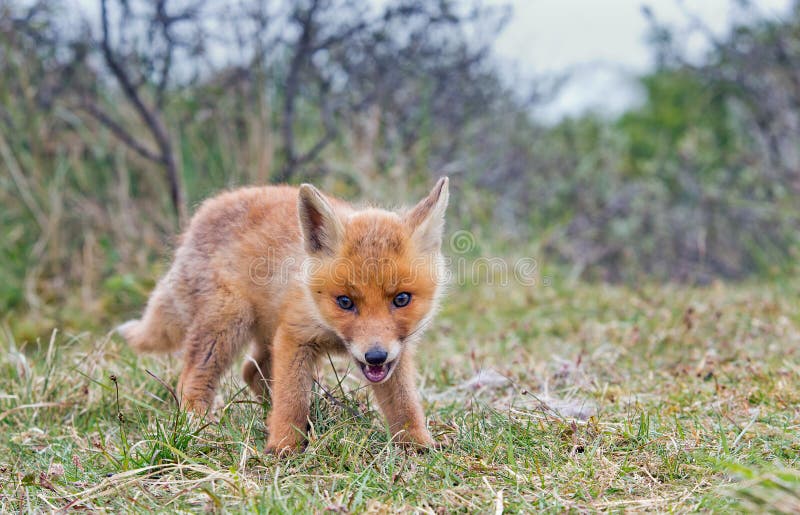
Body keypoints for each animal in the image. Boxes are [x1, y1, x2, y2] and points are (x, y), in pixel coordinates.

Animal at [117, 177, 449, 453]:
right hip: (228, 323)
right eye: (344, 302)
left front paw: (418, 445)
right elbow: (292, 400)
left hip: (264, 332)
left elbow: (405, 404)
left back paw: (266, 410)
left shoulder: (397, 352)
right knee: (192, 381)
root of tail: (203, 214)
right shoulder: (294, 336)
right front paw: (283, 448)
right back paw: (197, 426)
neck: (331, 332)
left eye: (401, 299)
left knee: (250, 370)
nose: (376, 356)